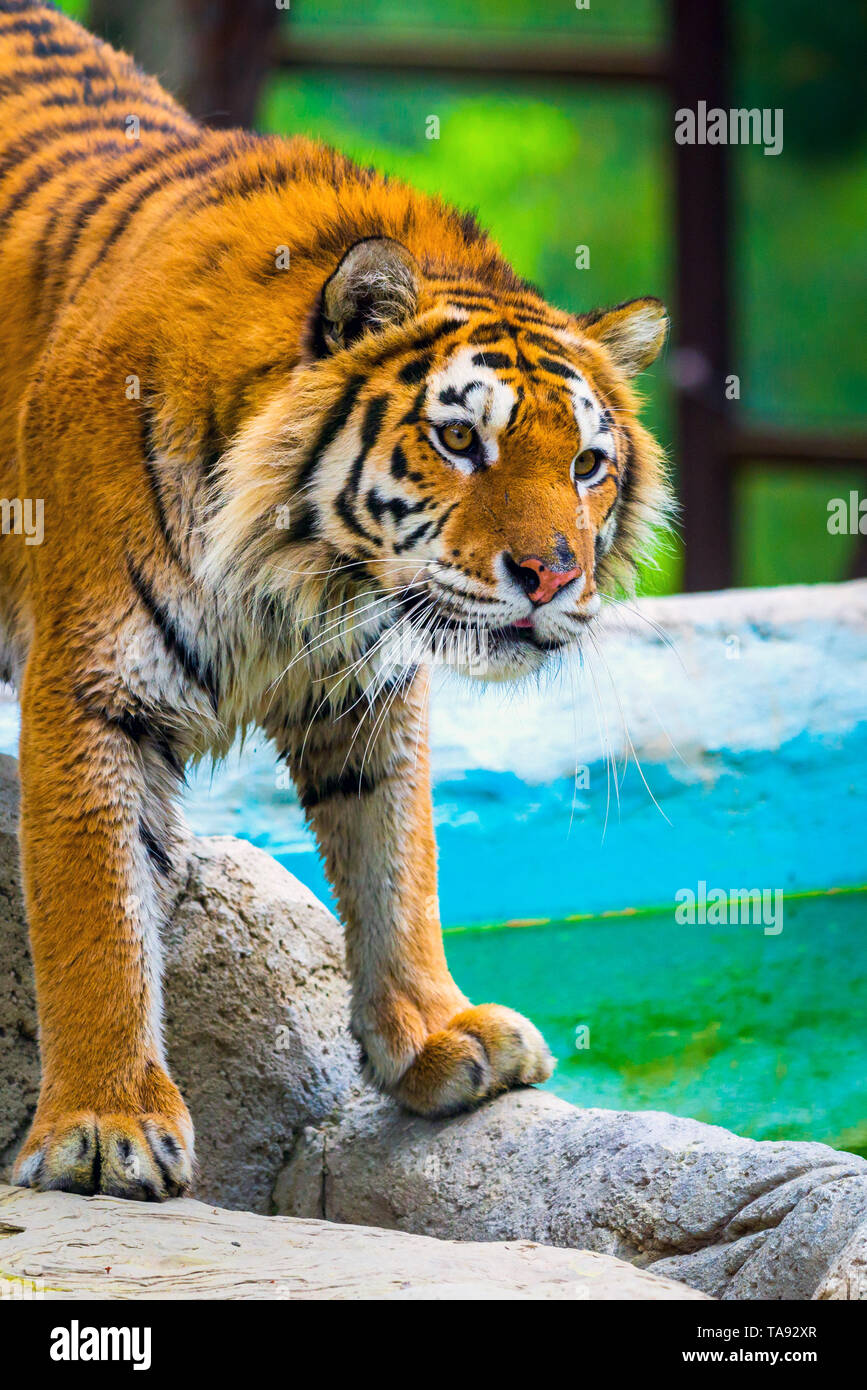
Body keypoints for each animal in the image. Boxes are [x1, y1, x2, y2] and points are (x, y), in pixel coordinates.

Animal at [0, 0, 670, 1200]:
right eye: (460, 439)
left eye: (588, 464)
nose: (552, 575)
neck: (308, 582)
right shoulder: (92, 691)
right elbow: (95, 917)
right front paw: (104, 1129)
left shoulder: (365, 687)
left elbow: (398, 860)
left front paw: (438, 1036)